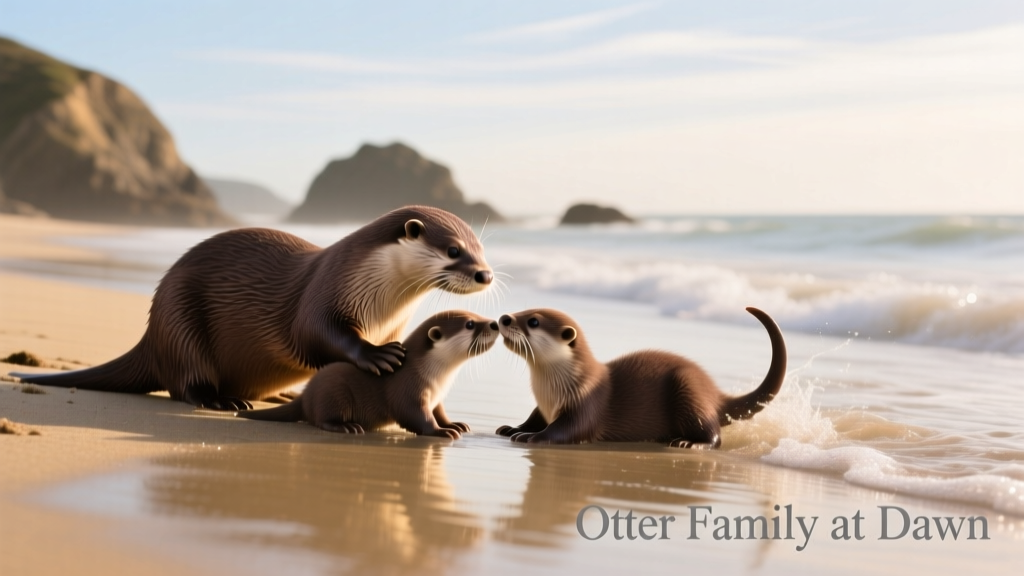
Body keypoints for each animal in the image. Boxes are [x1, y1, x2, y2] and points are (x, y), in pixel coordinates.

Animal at [13, 206, 493, 410]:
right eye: (453, 250)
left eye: (482, 248)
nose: (486, 274)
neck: (380, 300)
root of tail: (151, 338)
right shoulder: (322, 294)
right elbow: (317, 335)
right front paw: (376, 356)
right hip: (179, 320)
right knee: (184, 383)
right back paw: (219, 400)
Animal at [238, 310, 498, 438]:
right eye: (470, 324)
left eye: (478, 314)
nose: (495, 323)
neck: (437, 377)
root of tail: (305, 395)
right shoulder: (407, 389)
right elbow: (415, 416)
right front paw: (441, 431)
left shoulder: (436, 398)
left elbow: (439, 412)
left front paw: (454, 424)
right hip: (333, 393)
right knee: (321, 419)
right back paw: (346, 427)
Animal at [495, 307, 786, 448]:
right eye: (523, 310)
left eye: (533, 321)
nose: (505, 318)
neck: (552, 390)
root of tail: (714, 392)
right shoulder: (543, 407)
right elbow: (534, 418)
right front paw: (513, 428)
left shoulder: (585, 404)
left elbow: (567, 429)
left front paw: (530, 437)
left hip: (689, 391)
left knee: (713, 433)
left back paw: (690, 443)